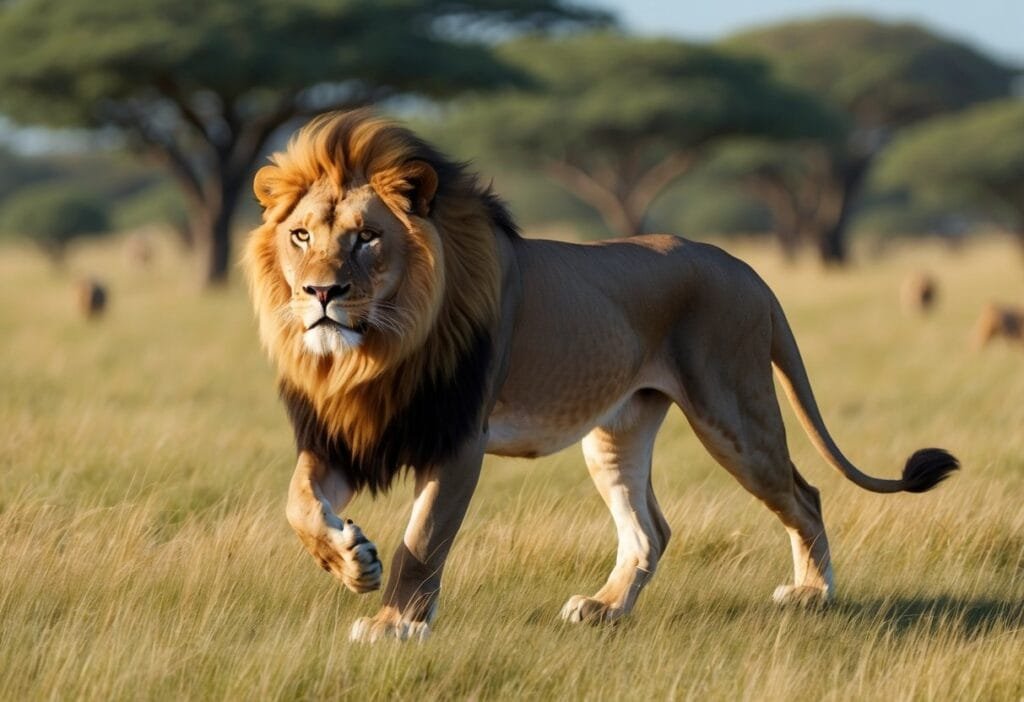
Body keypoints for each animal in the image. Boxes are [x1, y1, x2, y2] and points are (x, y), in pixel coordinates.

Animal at [244, 111, 959, 643]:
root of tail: (745, 268)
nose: (320, 293)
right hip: (618, 429)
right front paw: (351, 562)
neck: (376, 348)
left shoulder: (459, 440)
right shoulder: (342, 433)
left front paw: (394, 624)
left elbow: (423, 540)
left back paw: (812, 593)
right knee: (651, 530)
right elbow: (297, 504)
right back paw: (605, 608)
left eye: (367, 238)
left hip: (734, 414)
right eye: (302, 236)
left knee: (804, 495)